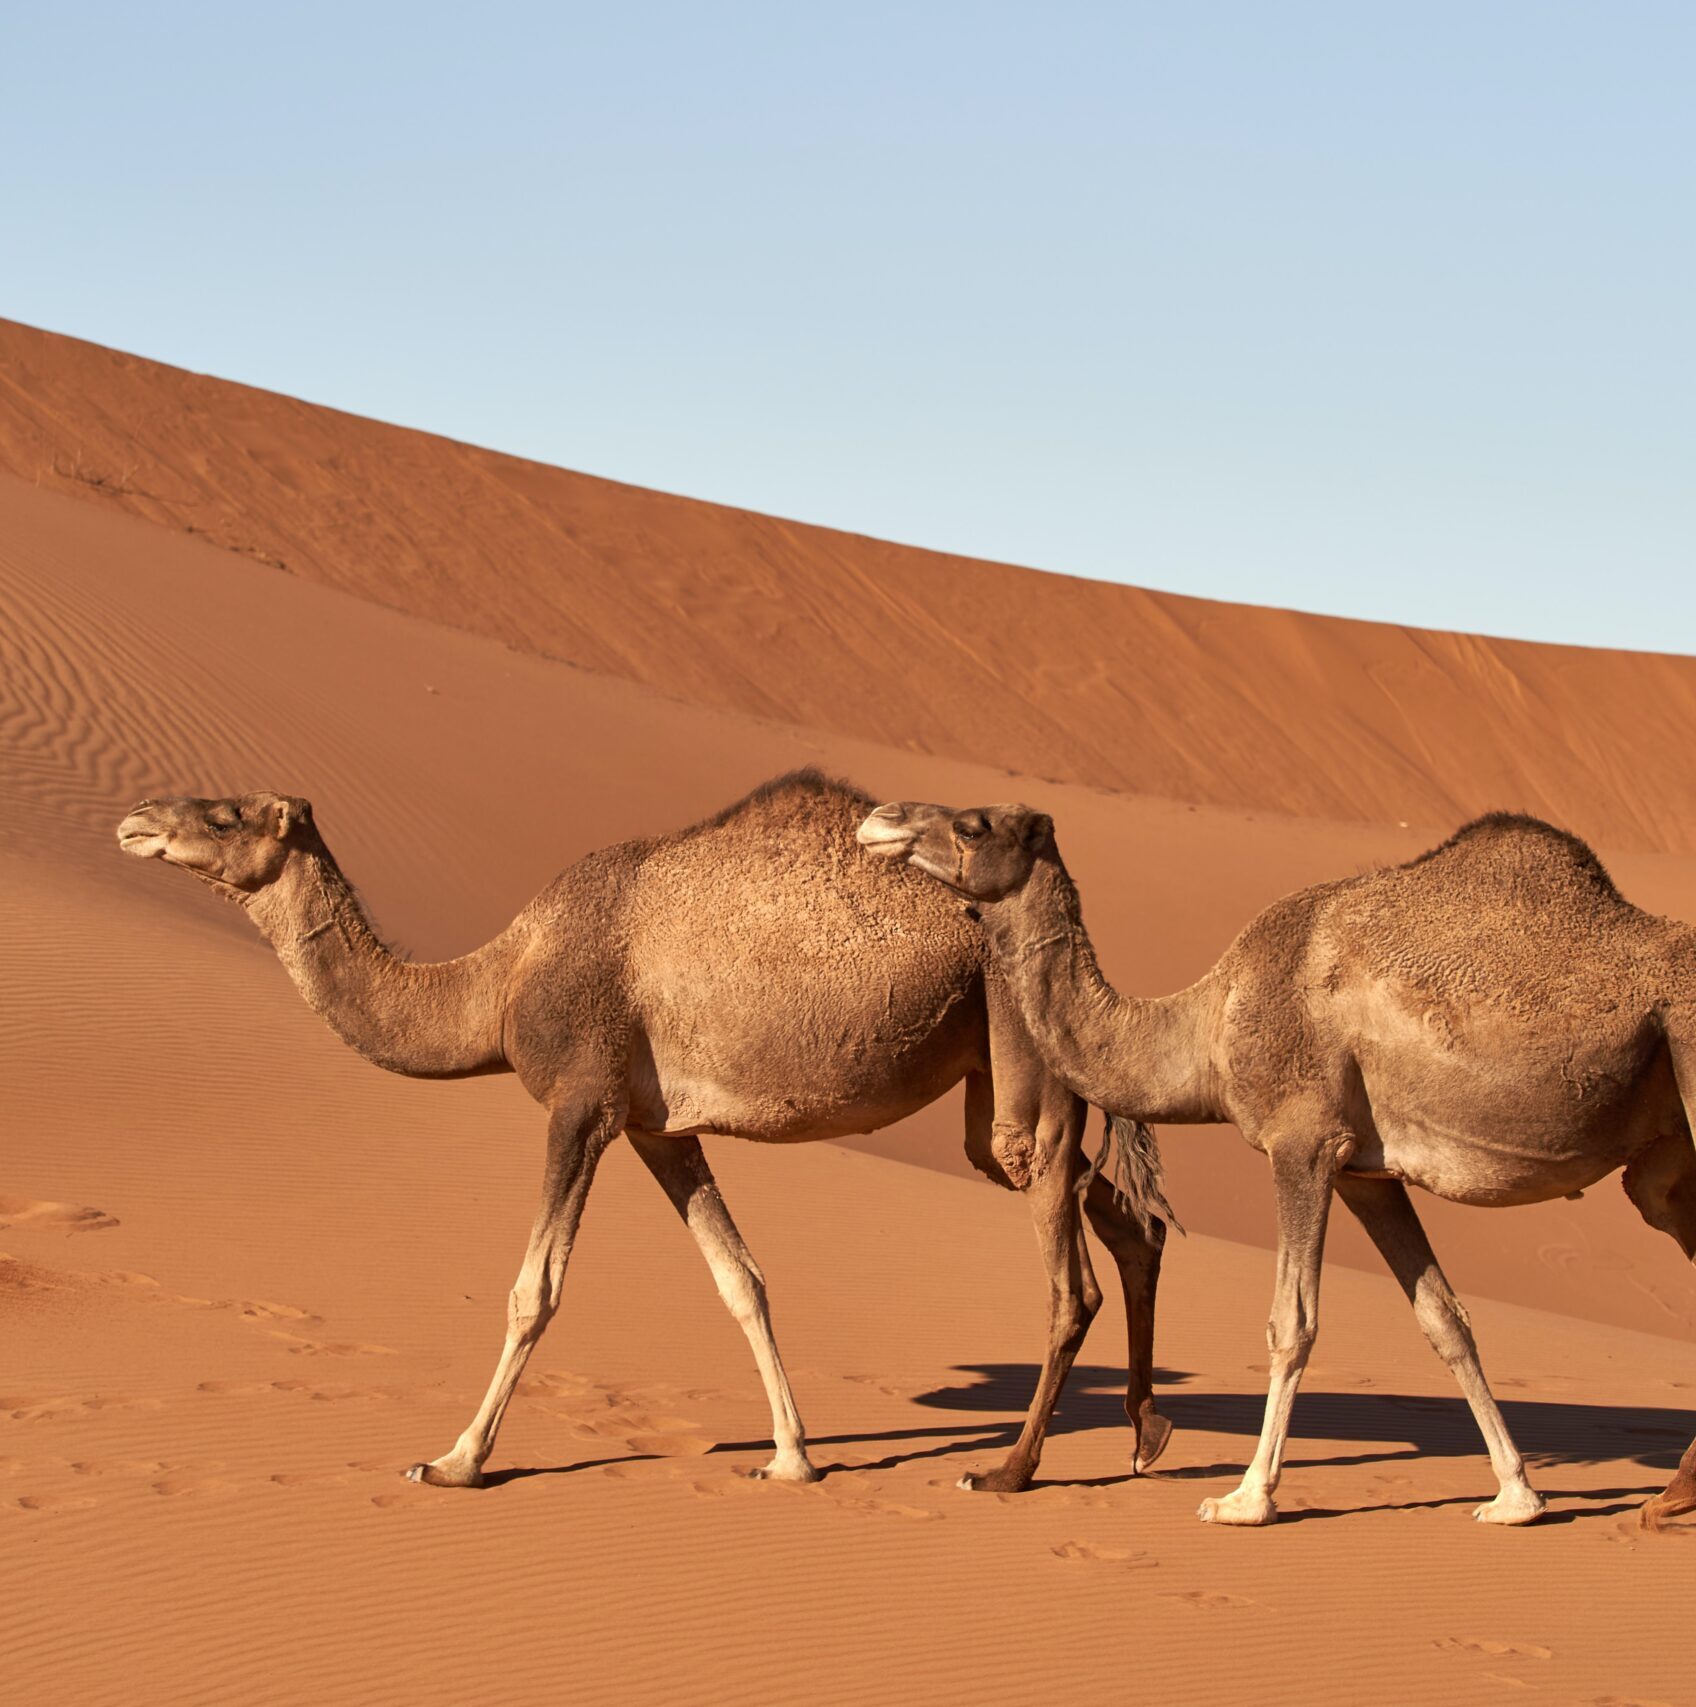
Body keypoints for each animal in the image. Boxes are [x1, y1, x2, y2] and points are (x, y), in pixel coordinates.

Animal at [116, 770, 1175, 1493]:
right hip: (991, 1085)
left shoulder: (580, 1098)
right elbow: (740, 1277)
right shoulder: (655, 1125)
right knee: (1129, 1215)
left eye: (225, 815)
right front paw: (792, 1456)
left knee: (1067, 1260)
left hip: (1022, 1063)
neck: (499, 981)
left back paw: (1016, 1470)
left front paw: (456, 1458)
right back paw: (1144, 1433)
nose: (138, 818)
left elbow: (533, 1289)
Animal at [857, 798, 1696, 1529]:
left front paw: (1245, 1498)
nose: (881, 818)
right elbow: (1444, 1318)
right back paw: (1668, 1498)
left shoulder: (1302, 1142)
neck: (1209, 1021)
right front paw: (1517, 1496)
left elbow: (1290, 1322)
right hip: (1664, 1161)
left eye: (972, 823)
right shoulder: (1365, 1172)